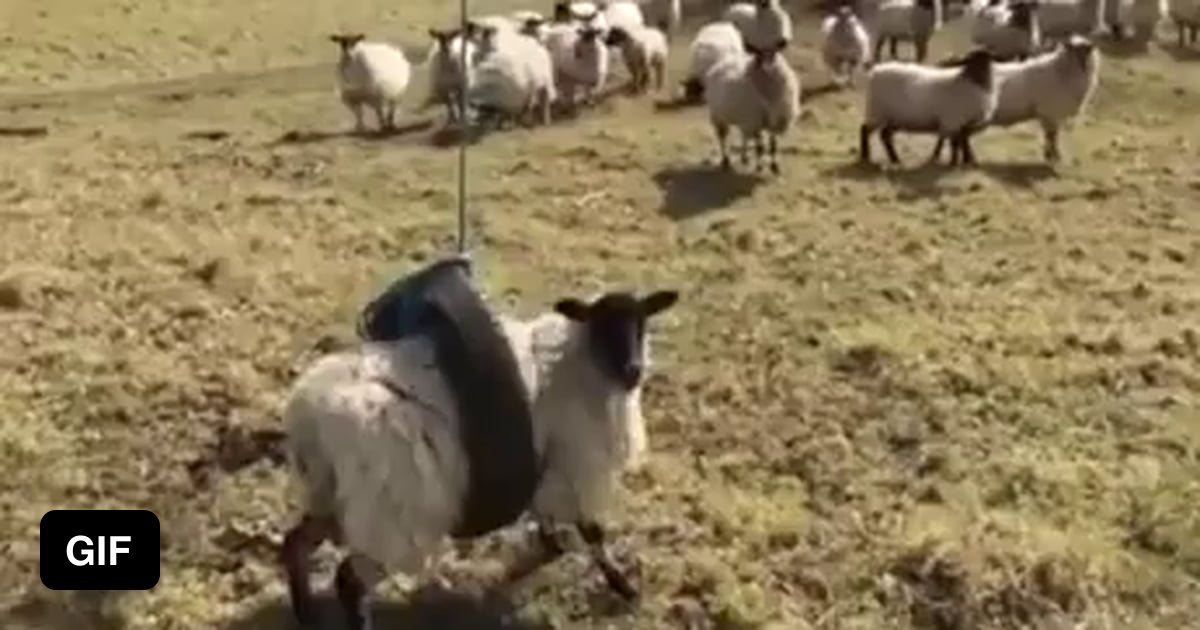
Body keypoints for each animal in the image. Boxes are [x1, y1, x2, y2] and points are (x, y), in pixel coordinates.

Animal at [280, 278, 680, 630]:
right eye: (601, 325)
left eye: (641, 322)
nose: (633, 371)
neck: (580, 366)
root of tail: (311, 414)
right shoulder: (573, 467)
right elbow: (594, 533)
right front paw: (623, 586)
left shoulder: (547, 469)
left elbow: (549, 521)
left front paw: (547, 547)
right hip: (392, 514)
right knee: (348, 580)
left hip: (329, 493)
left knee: (295, 543)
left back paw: (305, 614)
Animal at [705, 43, 802, 174]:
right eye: (759, 56)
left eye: (774, 54)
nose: (767, 68)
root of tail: (723, 63)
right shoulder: (755, 121)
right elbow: (760, 147)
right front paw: (759, 167)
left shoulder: (773, 121)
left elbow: (773, 145)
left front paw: (775, 166)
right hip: (718, 116)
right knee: (722, 138)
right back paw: (726, 160)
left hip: (743, 116)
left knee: (744, 136)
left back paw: (744, 157)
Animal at [859, 48, 999, 167]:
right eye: (973, 61)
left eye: (988, 61)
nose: (985, 80)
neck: (970, 81)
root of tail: (875, 71)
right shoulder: (952, 120)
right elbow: (955, 143)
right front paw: (954, 163)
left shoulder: (962, 123)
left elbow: (963, 142)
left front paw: (966, 161)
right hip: (876, 112)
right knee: (864, 129)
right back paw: (866, 156)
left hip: (894, 118)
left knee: (885, 136)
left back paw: (895, 159)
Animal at [934, 35, 1099, 162]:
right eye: (1071, 49)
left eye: (1086, 50)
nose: (1083, 65)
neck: (1061, 71)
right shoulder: (1049, 112)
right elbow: (1051, 136)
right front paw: (1053, 156)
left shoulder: (1049, 114)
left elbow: (1051, 136)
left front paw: (1050, 155)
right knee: (952, 136)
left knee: (953, 135)